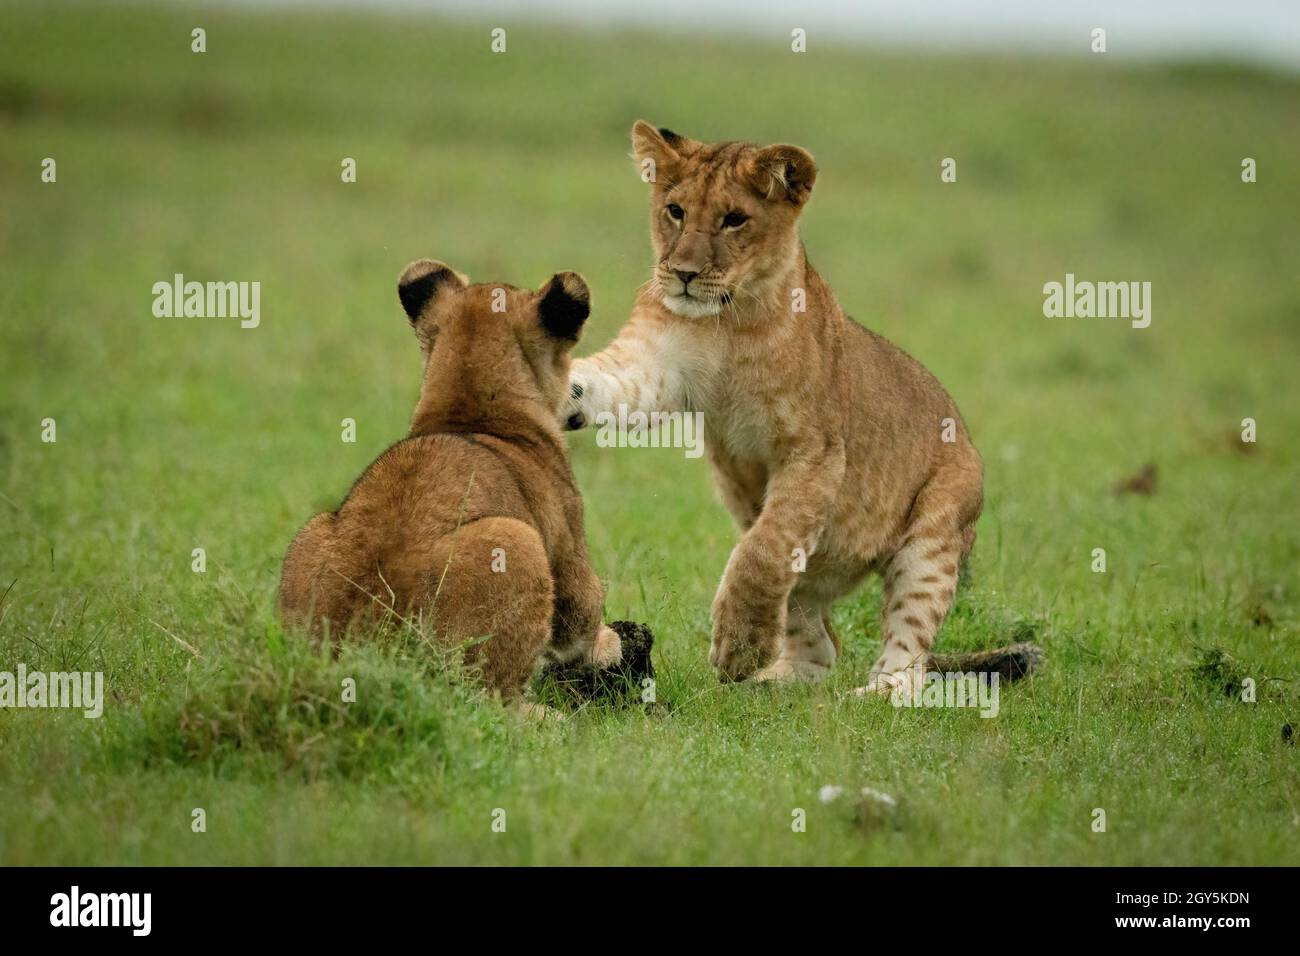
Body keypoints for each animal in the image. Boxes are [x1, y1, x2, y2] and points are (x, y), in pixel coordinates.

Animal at [278, 259, 621, 707]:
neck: (470, 414)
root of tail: (365, 641)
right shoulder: (566, 545)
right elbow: (581, 620)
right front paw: (611, 644)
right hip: (514, 539)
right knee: (488, 698)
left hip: (313, 528)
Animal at [564, 122, 1041, 698]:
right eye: (675, 211)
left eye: (734, 218)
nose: (682, 274)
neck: (731, 321)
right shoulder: (656, 362)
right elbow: (607, 381)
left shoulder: (815, 452)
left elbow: (762, 551)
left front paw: (738, 645)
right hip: (814, 572)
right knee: (821, 644)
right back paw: (778, 681)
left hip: (933, 539)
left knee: (910, 656)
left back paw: (872, 696)